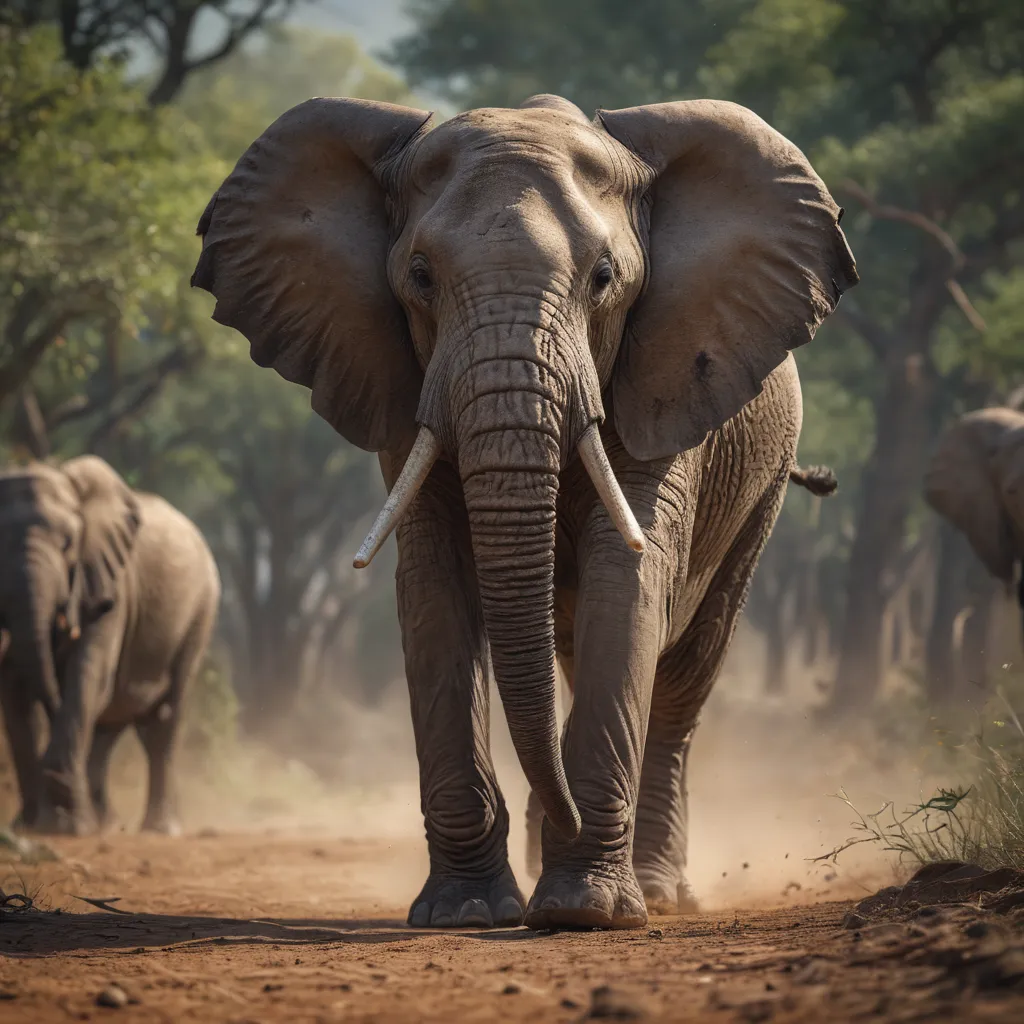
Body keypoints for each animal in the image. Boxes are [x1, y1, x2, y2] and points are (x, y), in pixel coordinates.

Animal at [0, 456, 220, 835]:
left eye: (68, 544)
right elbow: (13, 685)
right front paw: (27, 826)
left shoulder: (111, 585)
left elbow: (87, 672)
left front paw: (65, 824)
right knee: (110, 721)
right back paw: (107, 825)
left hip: (201, 609)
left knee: (162, 718)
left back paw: (158, 829)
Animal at [192, 92, 856, 929]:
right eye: (420, 276)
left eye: (604, 278)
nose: (564, 822)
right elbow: (434, 589)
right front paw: (468, 913)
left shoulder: (662, 381)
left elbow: (627, 576)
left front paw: (583, 911)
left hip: (760, 489)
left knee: (684, 670)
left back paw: (656, 890)